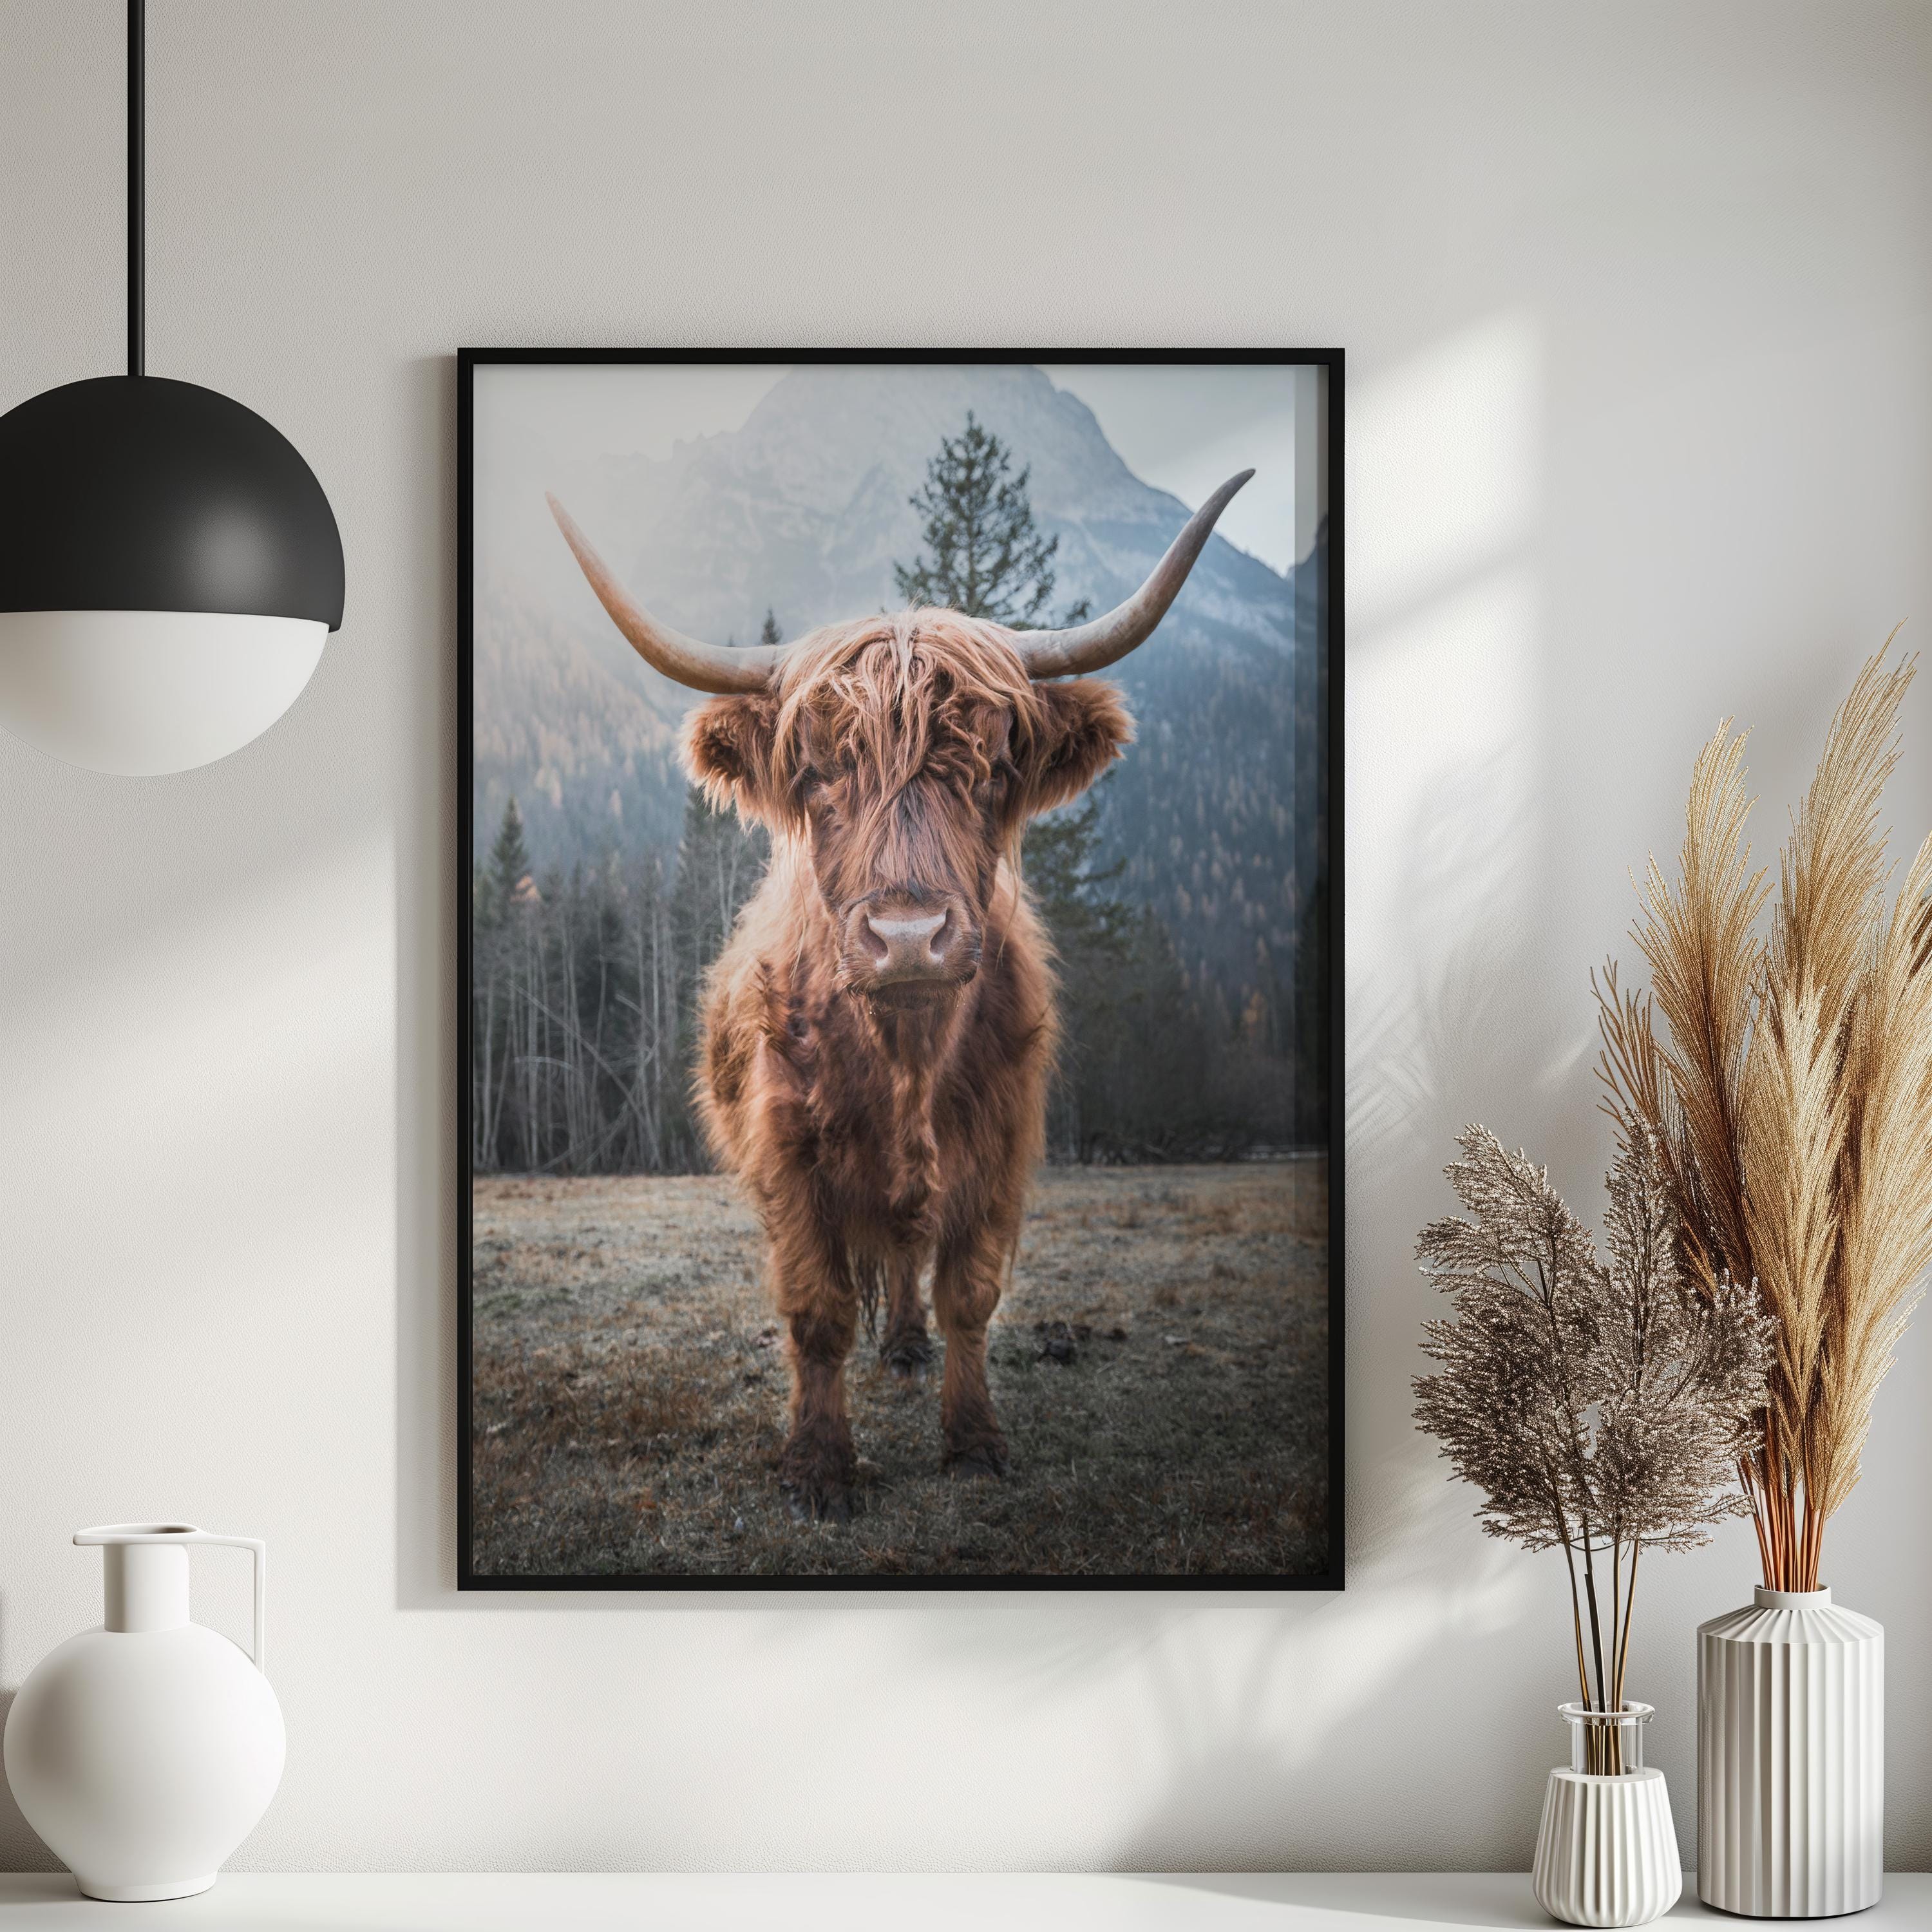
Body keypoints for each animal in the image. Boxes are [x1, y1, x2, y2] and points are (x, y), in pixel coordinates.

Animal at [548, 471, 1251, 1520]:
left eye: (992, 768)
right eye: (815, 773)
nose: (909, 937)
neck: (905, 1057)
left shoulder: (999, 1145)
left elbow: (969, 1293)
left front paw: (973, 1441)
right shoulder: (788, 1152)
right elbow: (818, 1310)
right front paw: (818, 1466)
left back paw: (911, 1347)